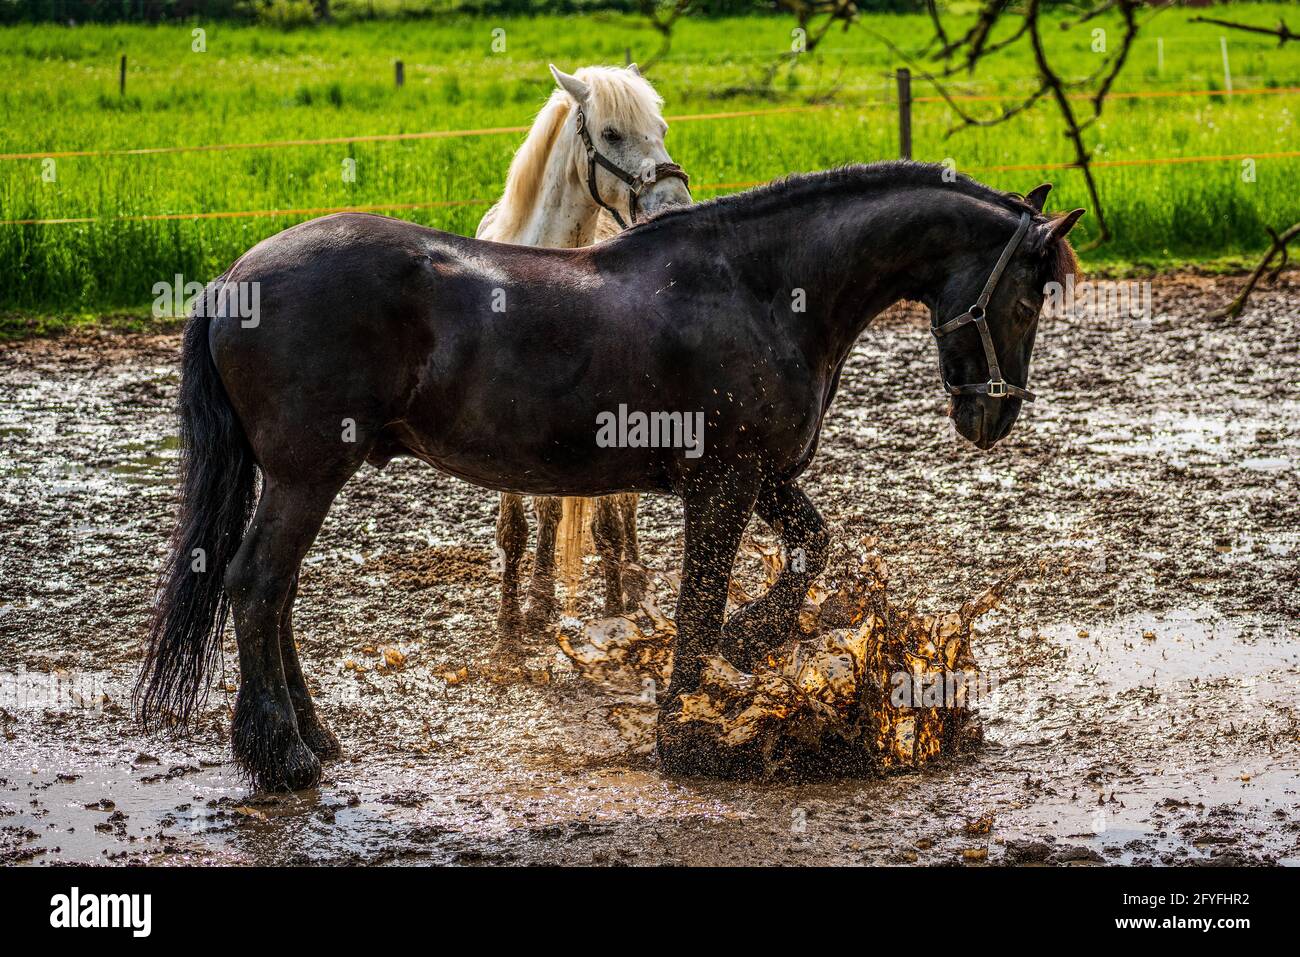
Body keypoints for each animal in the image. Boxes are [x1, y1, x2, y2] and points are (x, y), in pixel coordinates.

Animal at [135, 161, 1083, 791]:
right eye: (1025, 296)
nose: (991, 416)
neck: (764, 288)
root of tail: (234, 279)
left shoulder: (765, 477)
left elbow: (809, 550)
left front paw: (747, 647)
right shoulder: (724, 483)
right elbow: (700, 602)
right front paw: (689, 730)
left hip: (303, 478)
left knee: (275, 593)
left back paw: (312, 736)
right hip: (307, 475)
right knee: (258, 585)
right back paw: (283, 755)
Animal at [475, 63, 691, 635]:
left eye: (661, 128)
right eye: (611, 133)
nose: (676, 206)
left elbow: (607, 518)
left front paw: (616, 602)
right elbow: (520, 524)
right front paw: (515, 618)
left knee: (622, 510)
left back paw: (630, 583)